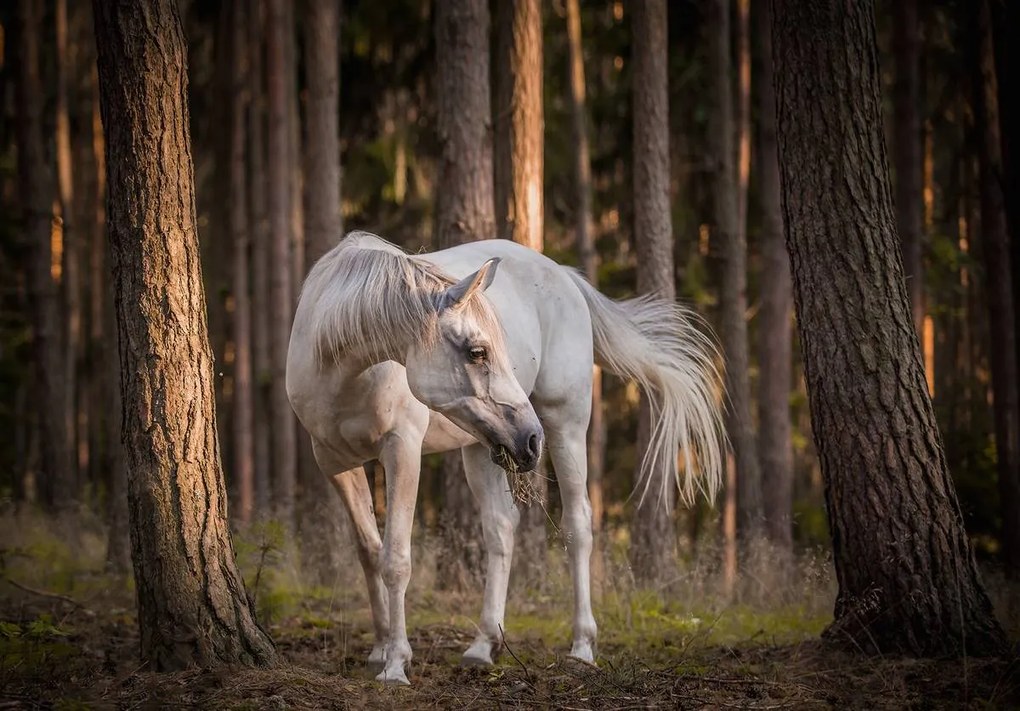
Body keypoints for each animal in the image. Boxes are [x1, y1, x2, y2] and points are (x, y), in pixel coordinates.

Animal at [283, 231, 722, 681]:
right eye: (477, 352)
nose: (531, 439)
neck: (341, 367)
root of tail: (564, 276)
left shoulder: (402, 450)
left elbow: (396, 559)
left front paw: (396, 665)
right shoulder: (335, 464)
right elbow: (370, 553)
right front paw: (380, 649)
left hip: (565, 424)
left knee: (578, 525)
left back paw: (582, 646)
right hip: (483, 445)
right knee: (500, 529)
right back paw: (483, 644)